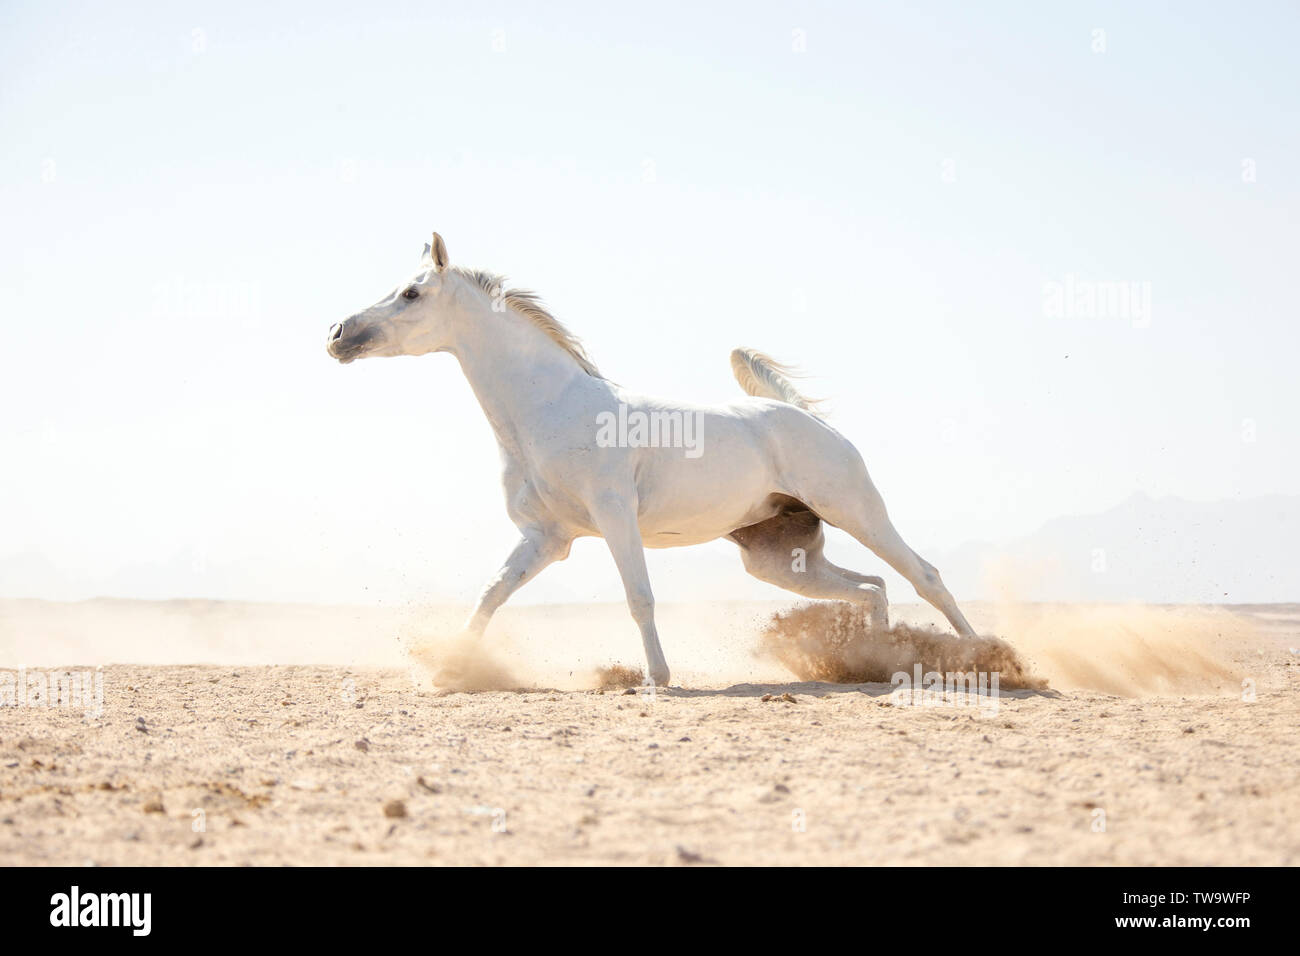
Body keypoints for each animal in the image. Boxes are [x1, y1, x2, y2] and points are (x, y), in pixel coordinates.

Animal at [326, 232, 976, 686]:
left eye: (411, 293)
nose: (337, 334)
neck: (547, 409)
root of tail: (809, 420)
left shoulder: (615, 519)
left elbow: (640, 597)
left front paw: (657, 678)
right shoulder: (546, 537)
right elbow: (491, 594)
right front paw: (450, 669)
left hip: (858, 512)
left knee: (924, 577)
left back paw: (979, 654)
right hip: (779, 561)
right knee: (871, 589)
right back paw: (874, 661)